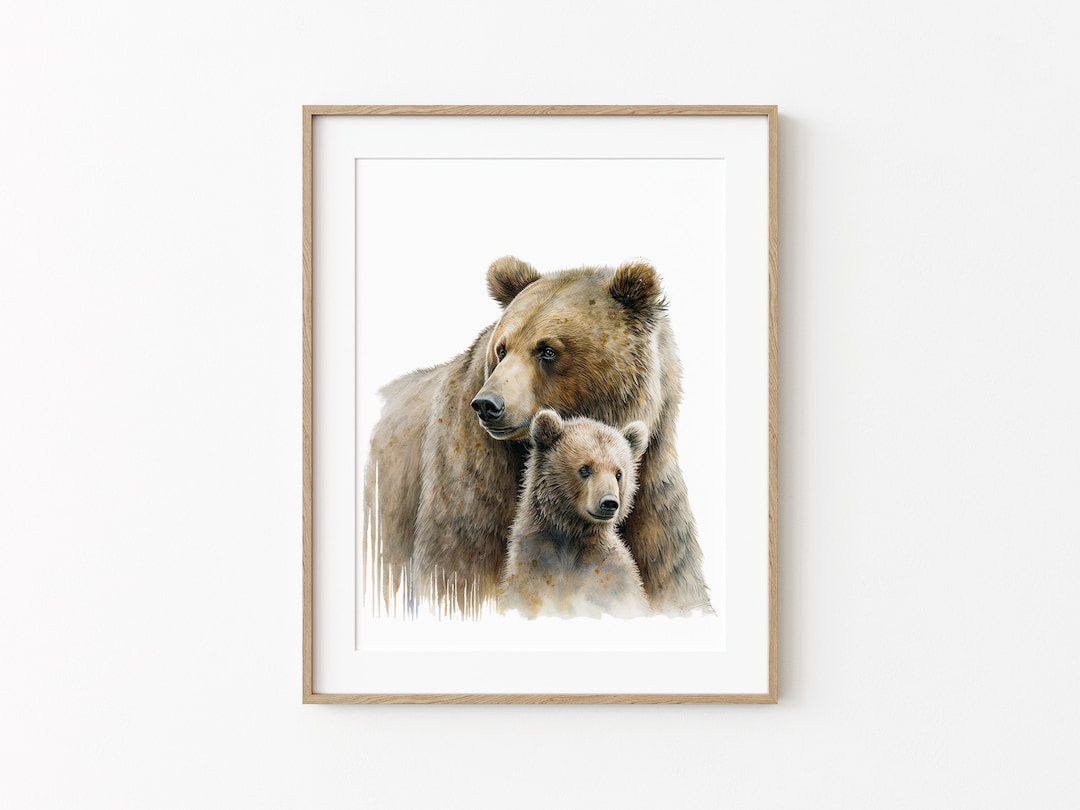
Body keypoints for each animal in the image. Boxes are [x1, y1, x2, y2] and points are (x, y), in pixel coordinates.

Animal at [498, 410, 651, 619]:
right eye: (585, 469)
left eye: (618, 473)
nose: (609, 503)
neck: (571, 532)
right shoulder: (534, 562)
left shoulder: (608, 571)